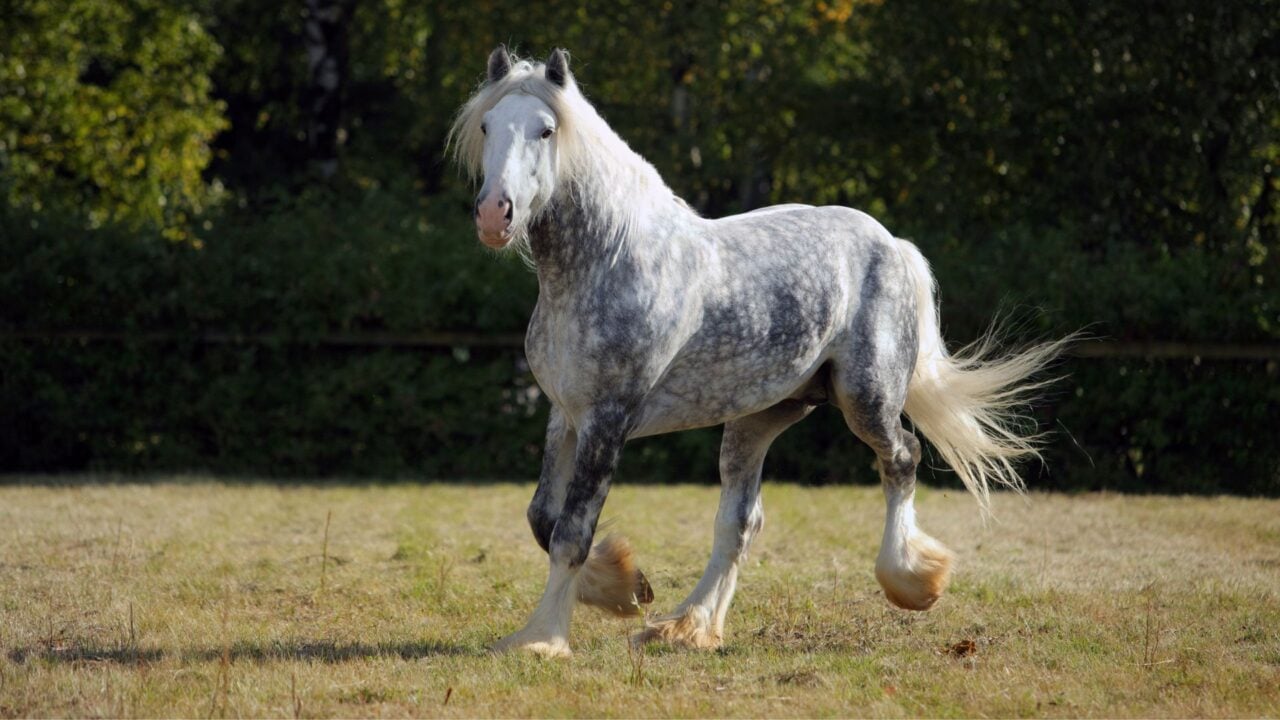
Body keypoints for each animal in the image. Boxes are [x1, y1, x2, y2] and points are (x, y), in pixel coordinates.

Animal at [449, 46, 1068, 658]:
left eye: (546, 130)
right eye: (486, 125)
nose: (495, 214)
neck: (610, 260)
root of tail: (891, 243)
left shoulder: (608, 419)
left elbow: (572, 533)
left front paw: (543, 639)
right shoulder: (566, 416)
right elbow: (542, 517)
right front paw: (626, 588)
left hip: (865, 398)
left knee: (902, 458)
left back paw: (912, 581)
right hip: (758, 418)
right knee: (740, 521)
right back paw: (690, 627)